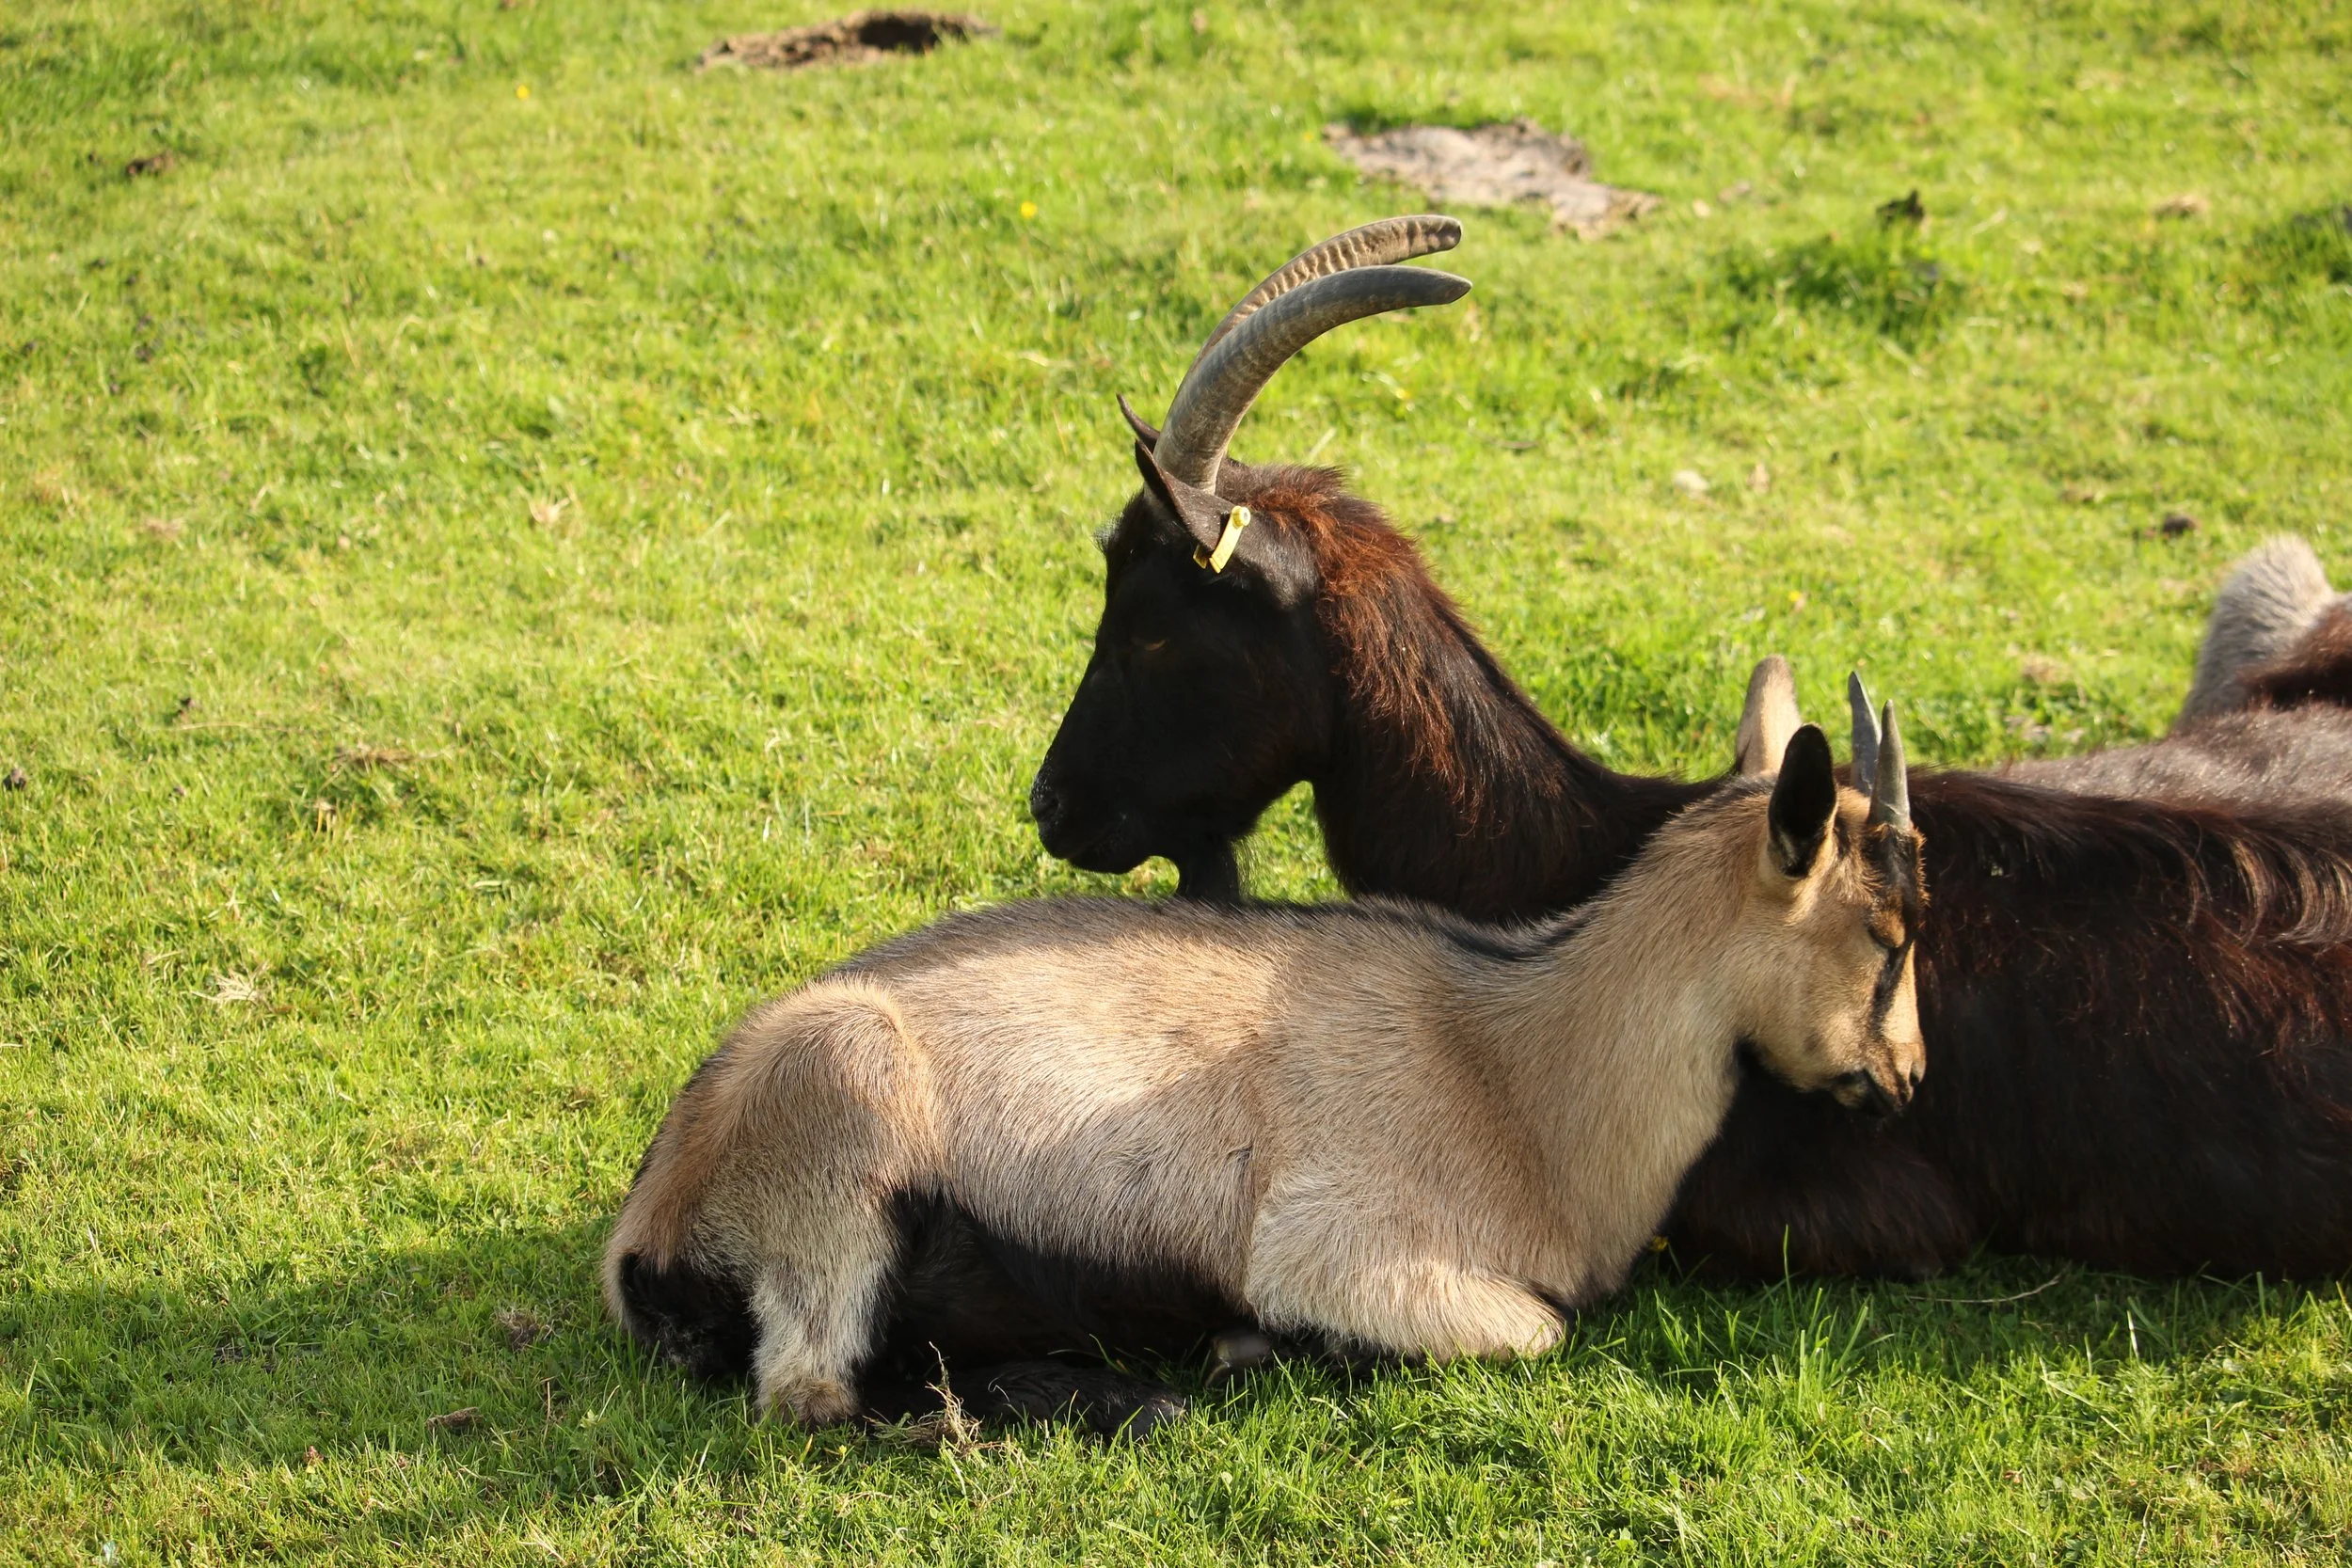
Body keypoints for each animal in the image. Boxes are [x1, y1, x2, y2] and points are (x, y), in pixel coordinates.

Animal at [607, 693, 1924, 1432]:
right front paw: (1262, 1345)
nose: (1907, 1080)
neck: (1515, 1069)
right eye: (1887, 929)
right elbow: (1532, 1331)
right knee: (813, 1394)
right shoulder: (1334, 1246)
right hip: (844, 1125)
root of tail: (649, 1214)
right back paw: (1127, 1398)